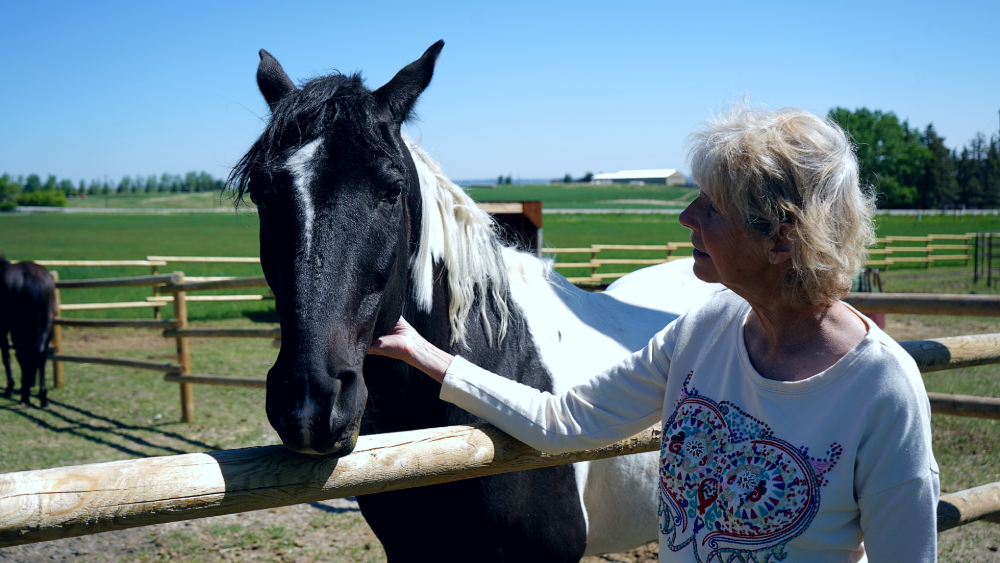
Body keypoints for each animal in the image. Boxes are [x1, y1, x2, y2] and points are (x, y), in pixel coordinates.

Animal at [0, 256, 57, 407]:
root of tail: (30, 275)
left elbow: (7, 356)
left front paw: (10, 388)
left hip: (17, 329)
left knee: (22, 355)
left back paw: (24, 395)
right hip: (46, 326)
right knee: (40, 354)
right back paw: (42, 397)